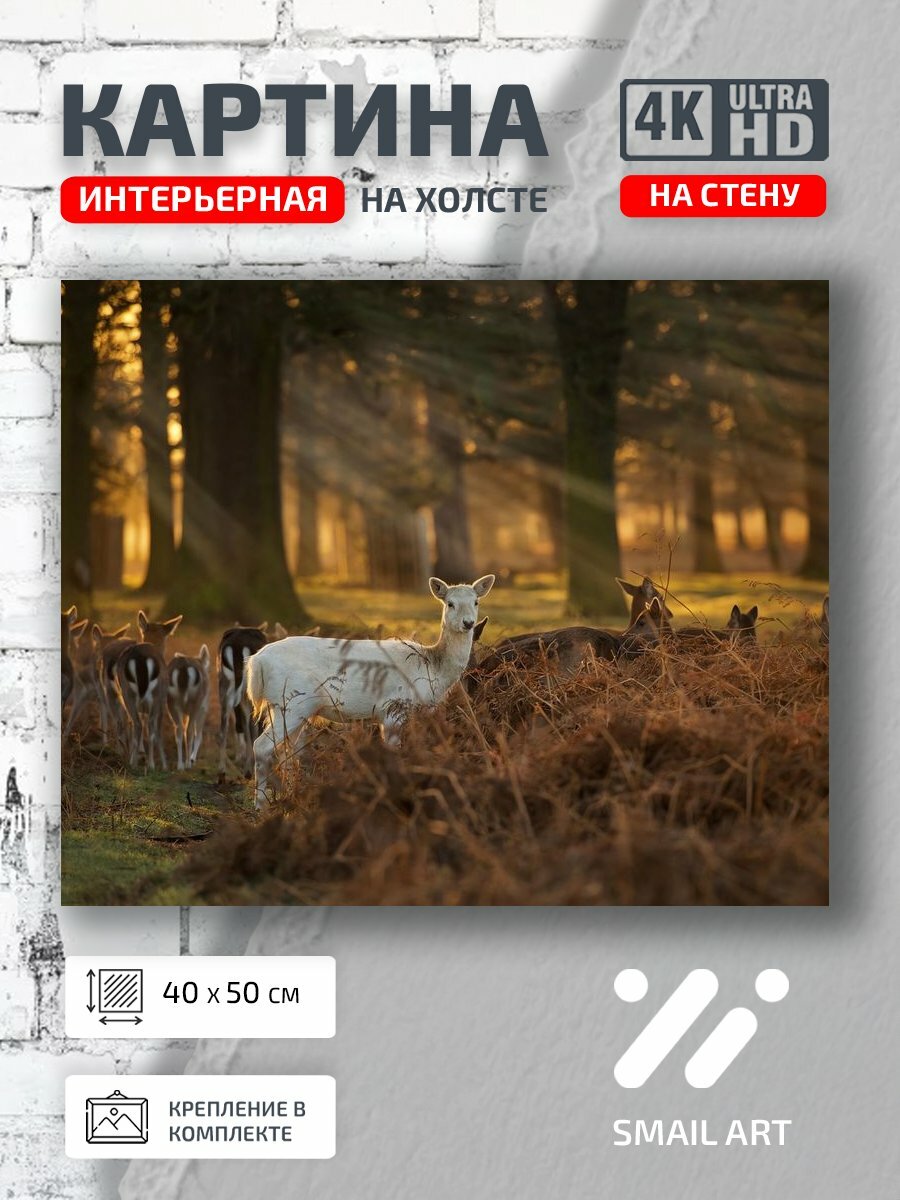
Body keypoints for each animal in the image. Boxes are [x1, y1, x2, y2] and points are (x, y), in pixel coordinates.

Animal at [115, 611, 182, 770]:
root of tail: (140, 657)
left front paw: (140, 754)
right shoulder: (162, 701)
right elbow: (157, 729)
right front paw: (163, 764)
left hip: (127, 693)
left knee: (135, 722)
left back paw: (132, 762)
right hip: (156, 694)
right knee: (149, 725)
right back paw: (151, 764)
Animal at [246, 574, 495, 809]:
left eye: (476, 601)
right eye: (450, 603)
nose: (468, 623)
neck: (432, 668)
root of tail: (257, 662)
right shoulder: (394, 707)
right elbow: (393, 752)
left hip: (296, 708)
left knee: (287, 750)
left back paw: (291, 795)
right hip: (290, 703)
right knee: (261, 746)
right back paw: (261, 805)